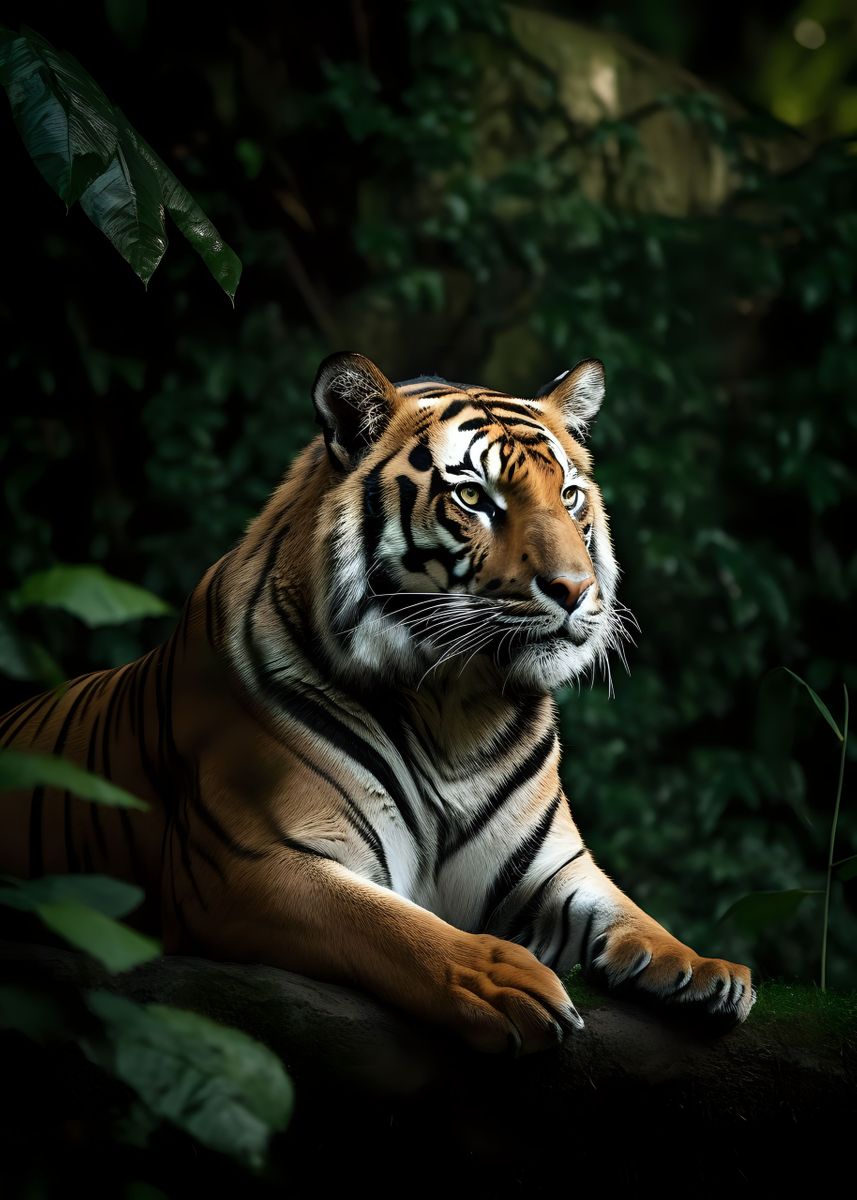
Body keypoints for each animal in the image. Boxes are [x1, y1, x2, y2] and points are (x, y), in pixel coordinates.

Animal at [0, 351, 754, 1053]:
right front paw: (499, 981)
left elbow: (628, 912)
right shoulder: (249, 865)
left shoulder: (548, 869)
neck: (458, 706)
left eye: (568, 495)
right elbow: (389, 924)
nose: (574, 589)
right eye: (474, 498)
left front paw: (704, 969)